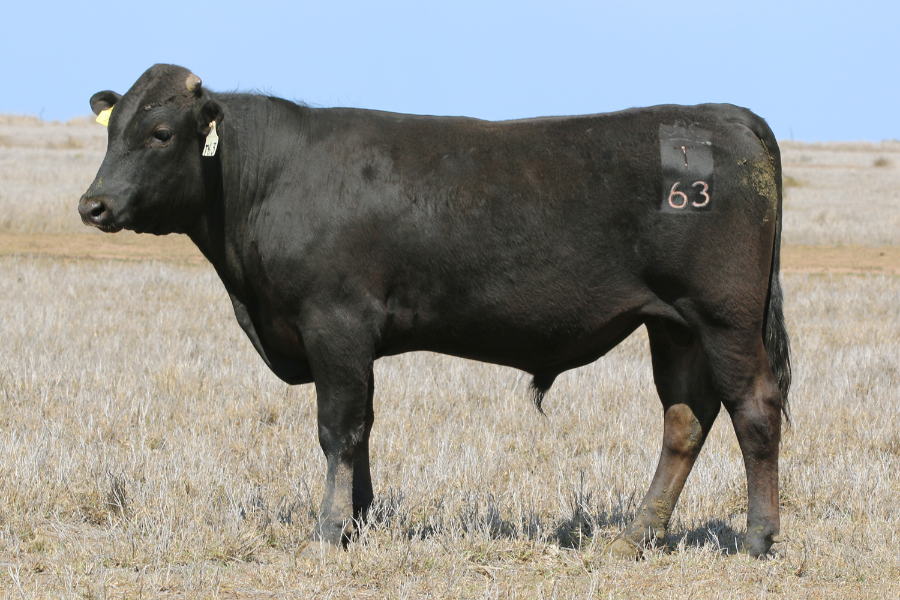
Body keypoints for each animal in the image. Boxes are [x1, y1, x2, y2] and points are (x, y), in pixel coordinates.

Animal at [79, 64, 791, 558]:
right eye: (112, 131)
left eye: (161, 133)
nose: (94, 205)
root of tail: (723, 114)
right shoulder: (350, 340)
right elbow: (363, 427)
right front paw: (359, 520)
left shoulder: (334, 322)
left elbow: (339, 429)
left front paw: (328, 530)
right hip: (673, 325)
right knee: (684, 419)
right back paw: (635, 536)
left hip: (722, 317)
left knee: (753, 408)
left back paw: (757, 538)